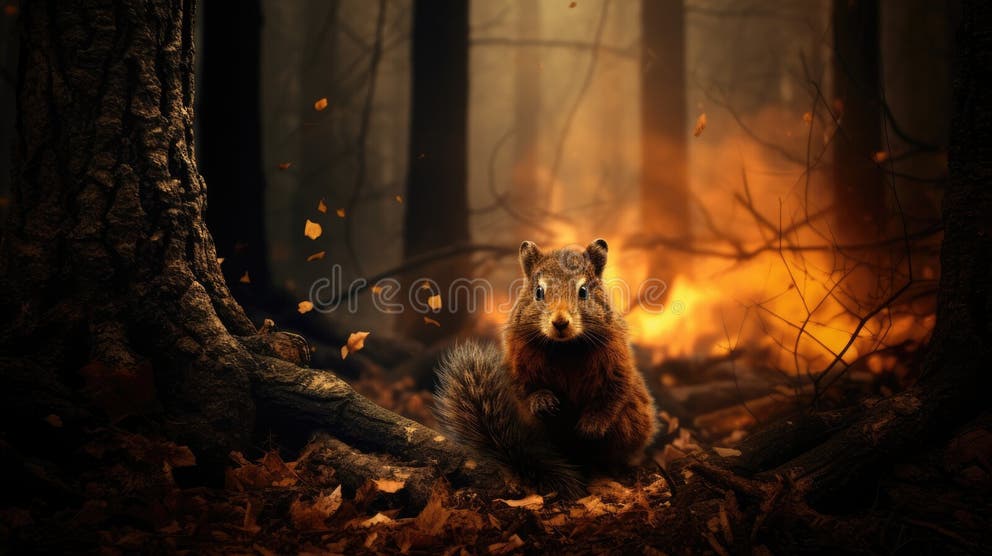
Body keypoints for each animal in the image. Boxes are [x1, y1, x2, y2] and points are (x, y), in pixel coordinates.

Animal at [433, 239, 658, 497]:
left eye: (583, 291)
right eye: (538, 292)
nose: (560, 322)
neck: (565, 348)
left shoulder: (616, 362)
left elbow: (612, 395)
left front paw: (591, 425)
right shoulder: (518, 362)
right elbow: (526, 388)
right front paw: (543, 401)